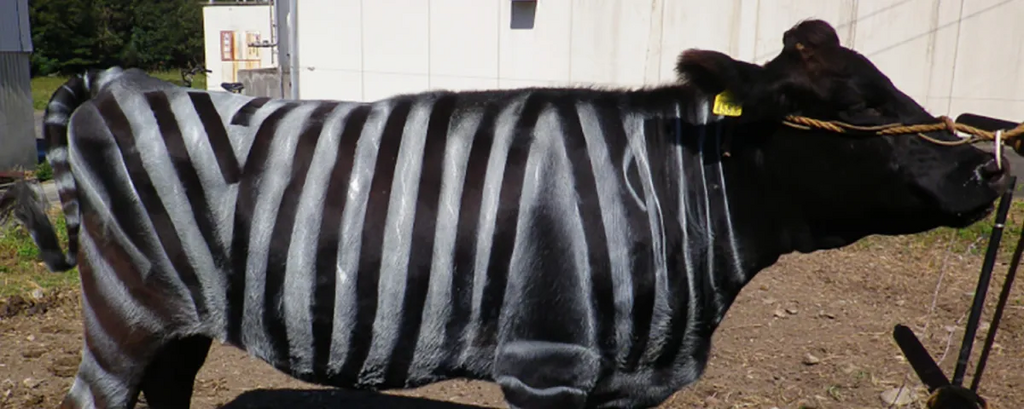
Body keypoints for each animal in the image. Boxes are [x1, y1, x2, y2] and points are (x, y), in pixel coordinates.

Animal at [1, 19, 1009, 409]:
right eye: (861, 109)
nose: (994, 168)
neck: (670, 199)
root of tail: (122, 83)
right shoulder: (545, 363)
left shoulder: (623, 383)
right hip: (124, 312)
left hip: (181, 319)